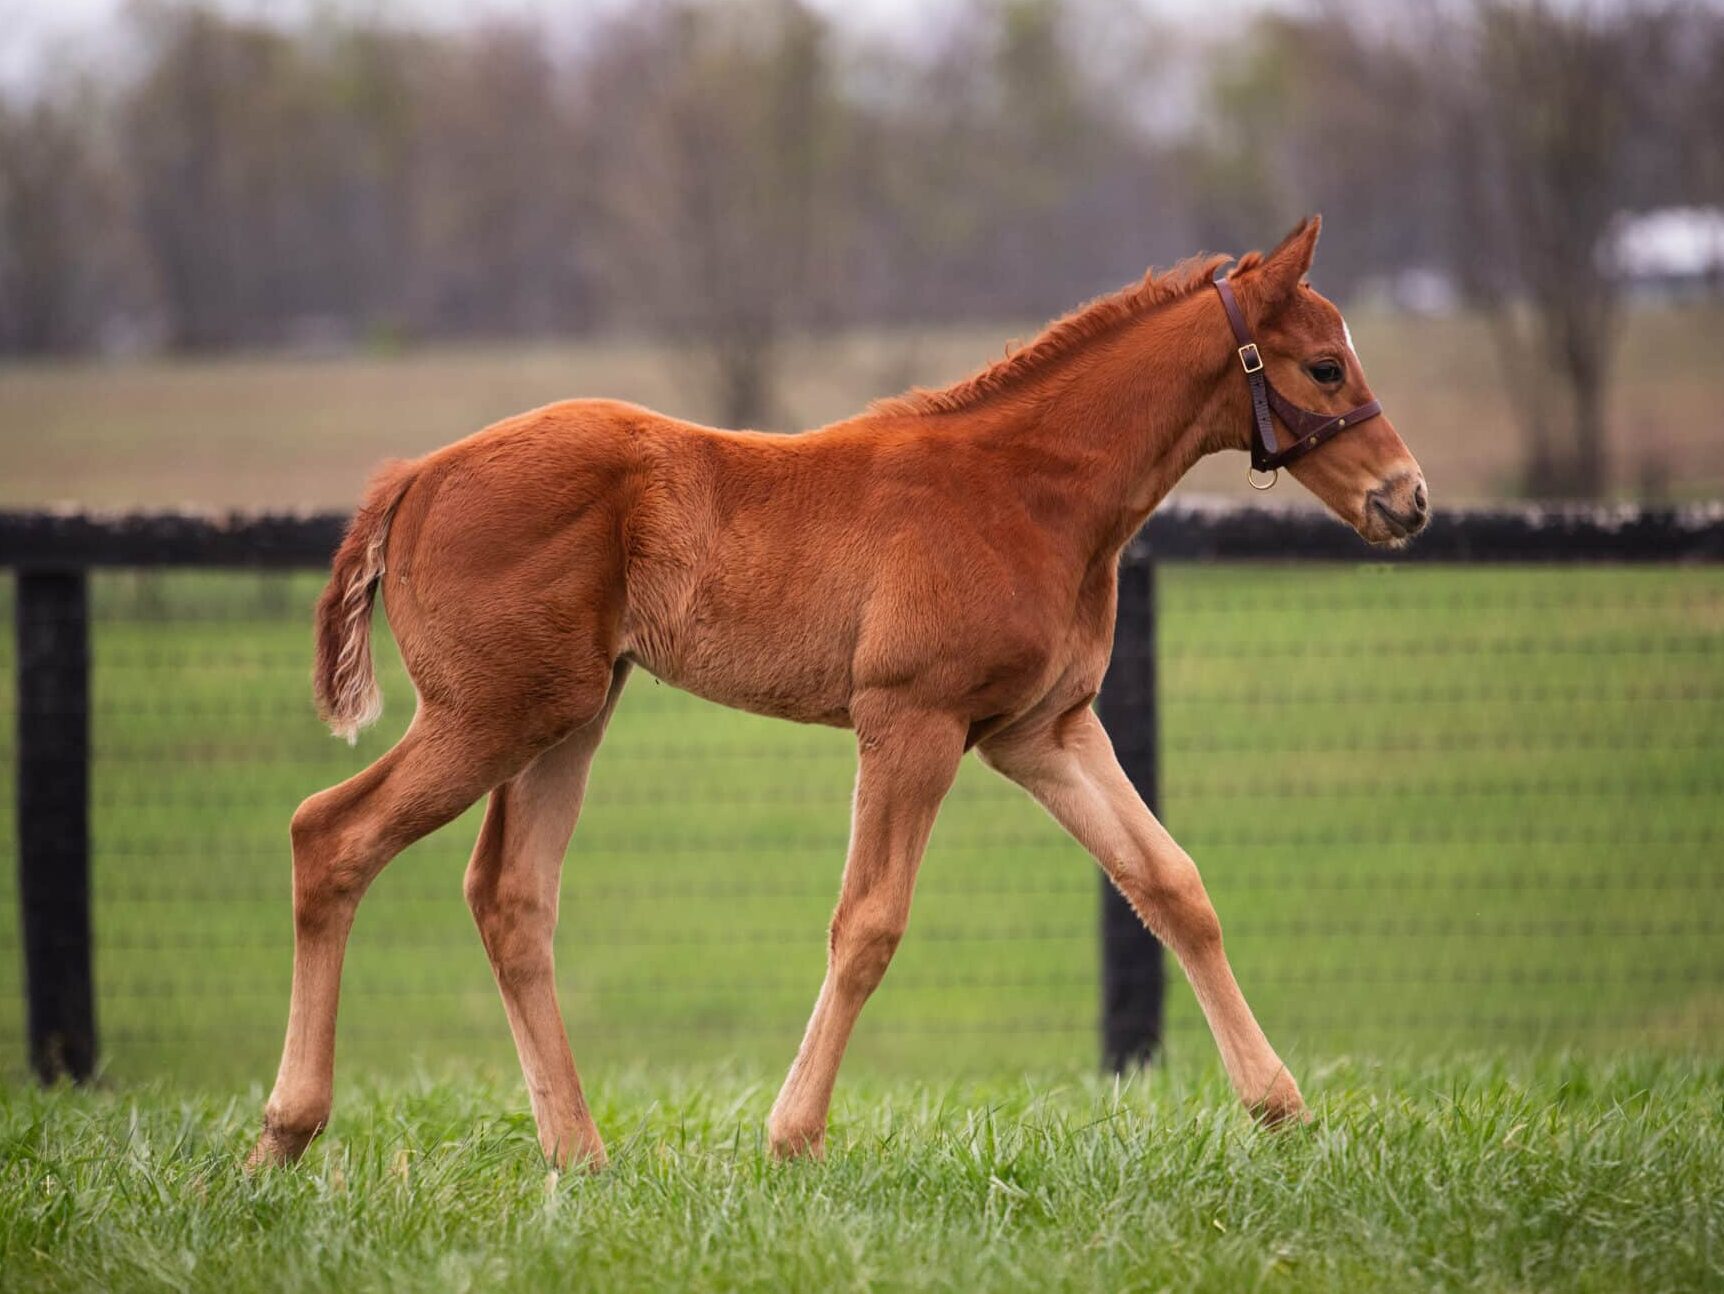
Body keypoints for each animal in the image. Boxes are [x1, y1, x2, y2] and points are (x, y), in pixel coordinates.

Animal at [247, 216, 1428, 1170]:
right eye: (1325, 366)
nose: (1407, 499)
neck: (1028, 492)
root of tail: (414, 478)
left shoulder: (1042, 731)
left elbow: (1171, 884)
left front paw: (1281, 1110)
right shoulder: (911, 720)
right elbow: (867, 923)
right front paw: (792, 1138)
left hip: (568, 716)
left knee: (510, 898)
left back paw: (578, 1157)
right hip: (493, 713)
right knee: (329, 834)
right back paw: (285, 1136)